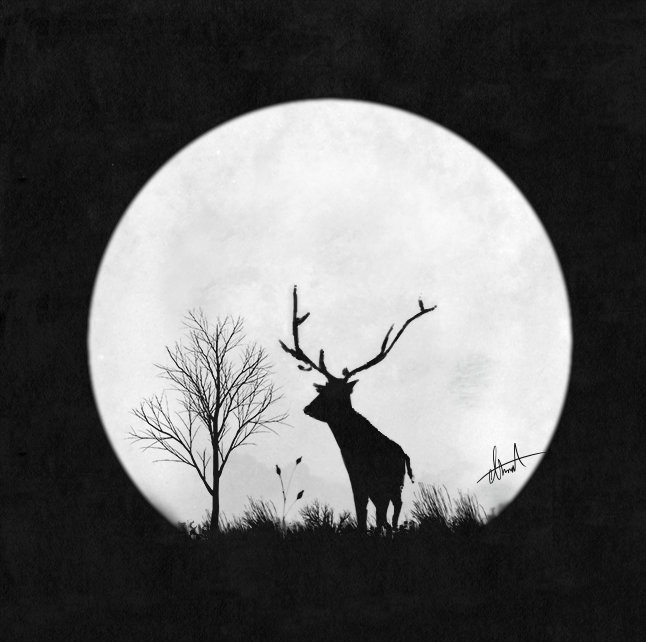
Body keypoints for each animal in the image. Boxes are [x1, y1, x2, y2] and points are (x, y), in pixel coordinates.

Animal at [279, 286, 437, 533]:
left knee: (392, 510)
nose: (307, 408)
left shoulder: (364, 479)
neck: (350, 446)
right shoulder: (358, 479)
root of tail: (404, 455)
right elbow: (362, 512)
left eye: (331, 395)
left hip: (392, 483)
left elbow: (366, 514)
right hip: (392, 485)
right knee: (390, 510)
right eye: (323, 389)